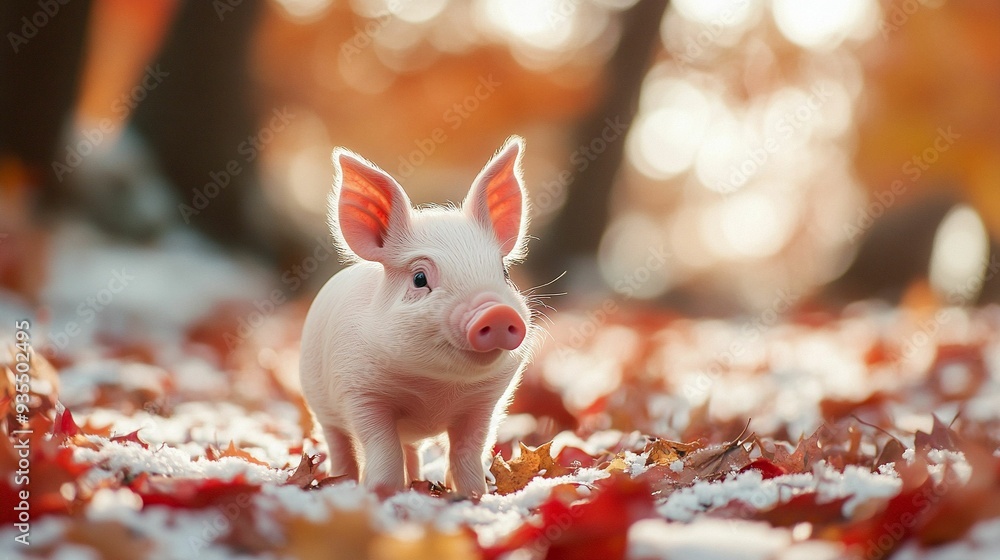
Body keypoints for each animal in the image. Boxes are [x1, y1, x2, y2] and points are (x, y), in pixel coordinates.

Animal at [299, 136, 536, 497]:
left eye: (504, 273)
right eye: (420, 278)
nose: (496, 310)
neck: (436, 388)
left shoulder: (485, 402)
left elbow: (468, 452)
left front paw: (474, 496)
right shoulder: (360, 391)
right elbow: (383, 449)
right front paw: (382, 493)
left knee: (410, 449)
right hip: (320, 404)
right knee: (340, 444)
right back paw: (345, 483)